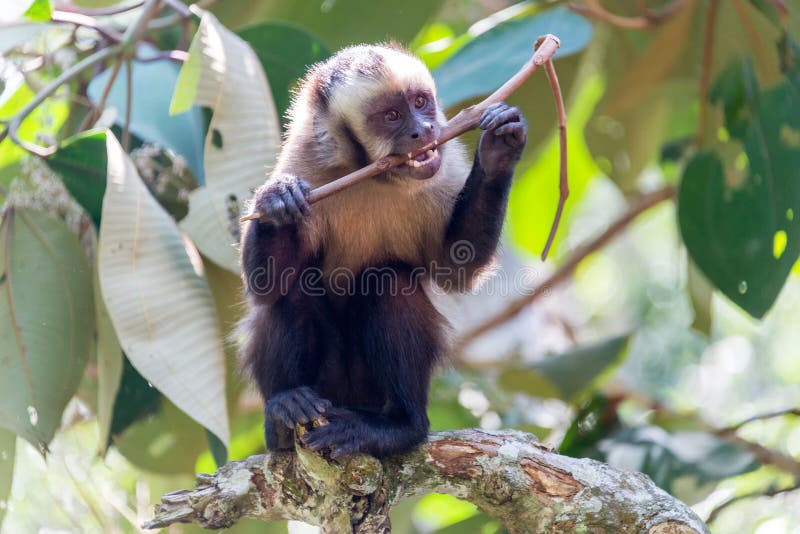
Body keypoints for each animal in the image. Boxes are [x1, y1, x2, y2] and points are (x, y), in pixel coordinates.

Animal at [239, 43, 527, 459]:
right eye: (391, 116)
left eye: (421, 103)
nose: (423, 130)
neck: (378, 176)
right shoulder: (306, 161)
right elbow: (265, 286)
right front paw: (277, 201)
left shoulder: (445, 162)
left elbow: (455, 268)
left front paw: (498, 153)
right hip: (330, 388)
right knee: (293, 291)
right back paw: (285, 411)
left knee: (390, 281)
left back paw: (399, 426)